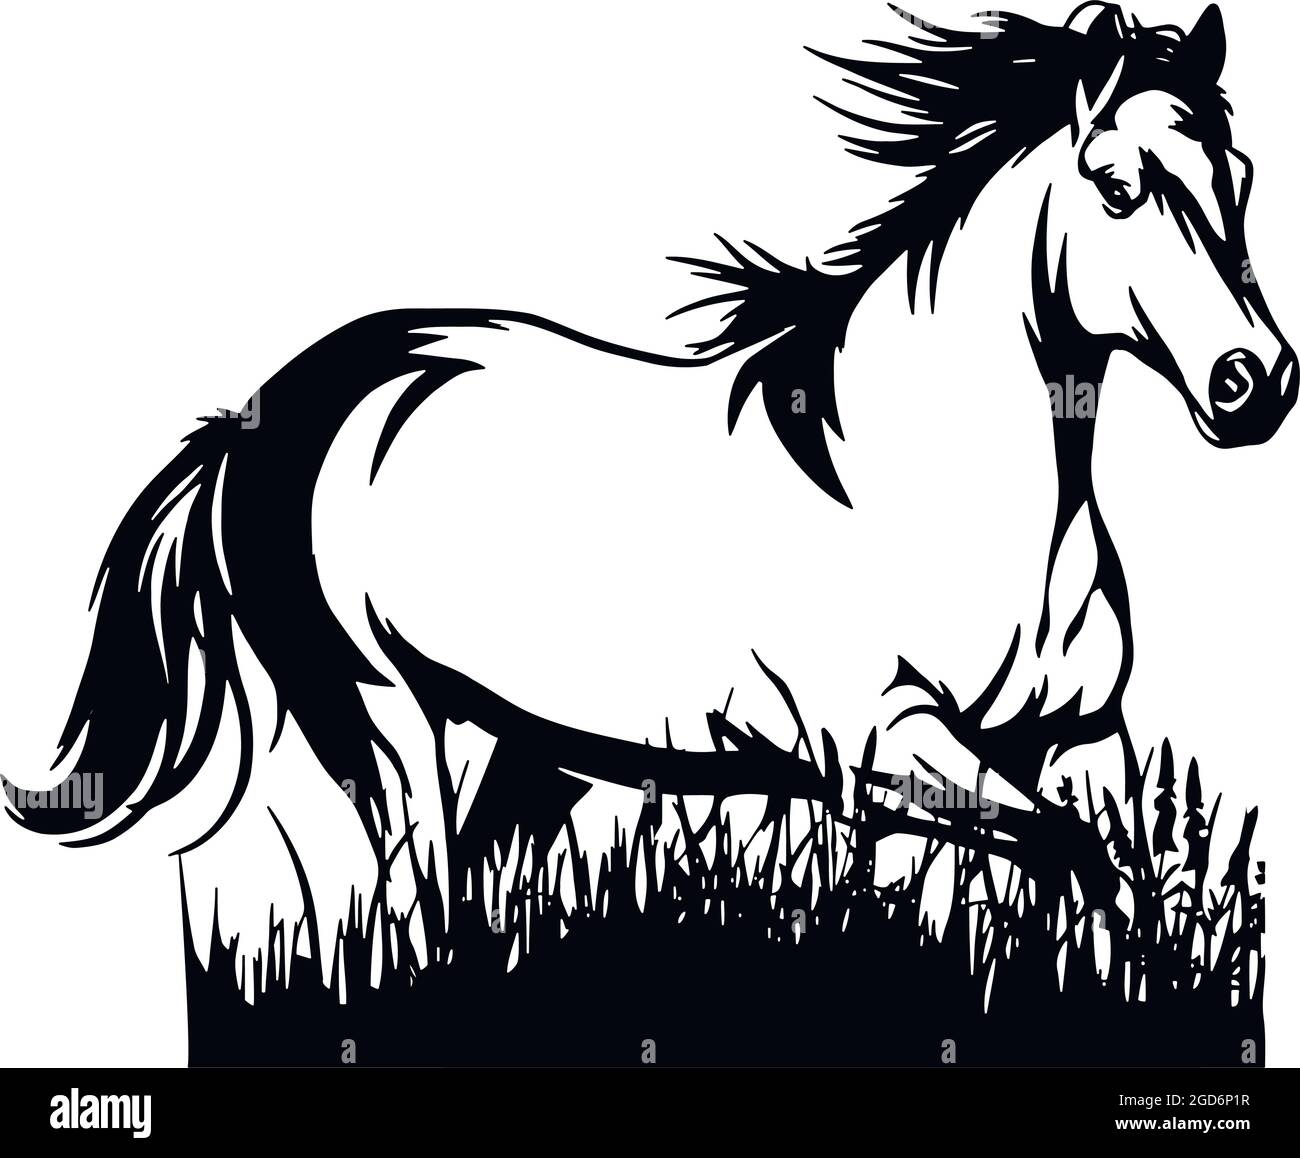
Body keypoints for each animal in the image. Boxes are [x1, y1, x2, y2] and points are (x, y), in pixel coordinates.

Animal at [7, 3, 1294, 991]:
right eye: (1118, 189)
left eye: (1236, 177)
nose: (1255, 384)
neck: (922, 489)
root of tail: (259, 414)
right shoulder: (879, 743)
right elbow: (1078, 858)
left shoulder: (1065, 737)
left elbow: (1105, 876)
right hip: (372, 714)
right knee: (416, 899)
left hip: (536, 749)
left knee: (471, 896)